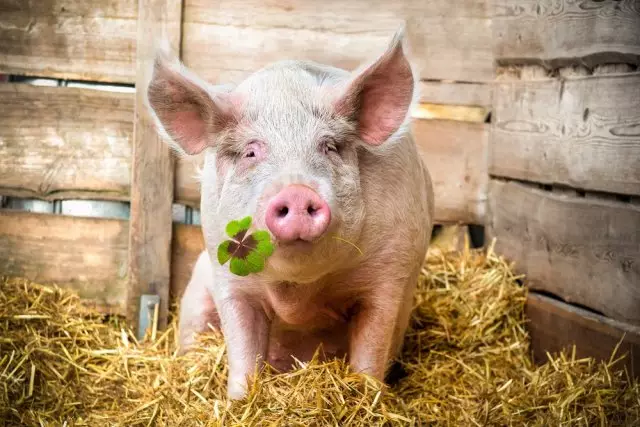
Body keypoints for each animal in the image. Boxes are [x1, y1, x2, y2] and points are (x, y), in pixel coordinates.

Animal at [145, 27, 436, 402]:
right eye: (251, 152)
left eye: (329, 147)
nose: (297, 191)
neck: (298, 292)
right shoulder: (228, 279)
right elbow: (242, 349)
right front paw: (239, 400)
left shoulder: (390, 274)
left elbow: (370, 350)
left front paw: (365, 398)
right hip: (196, 288)